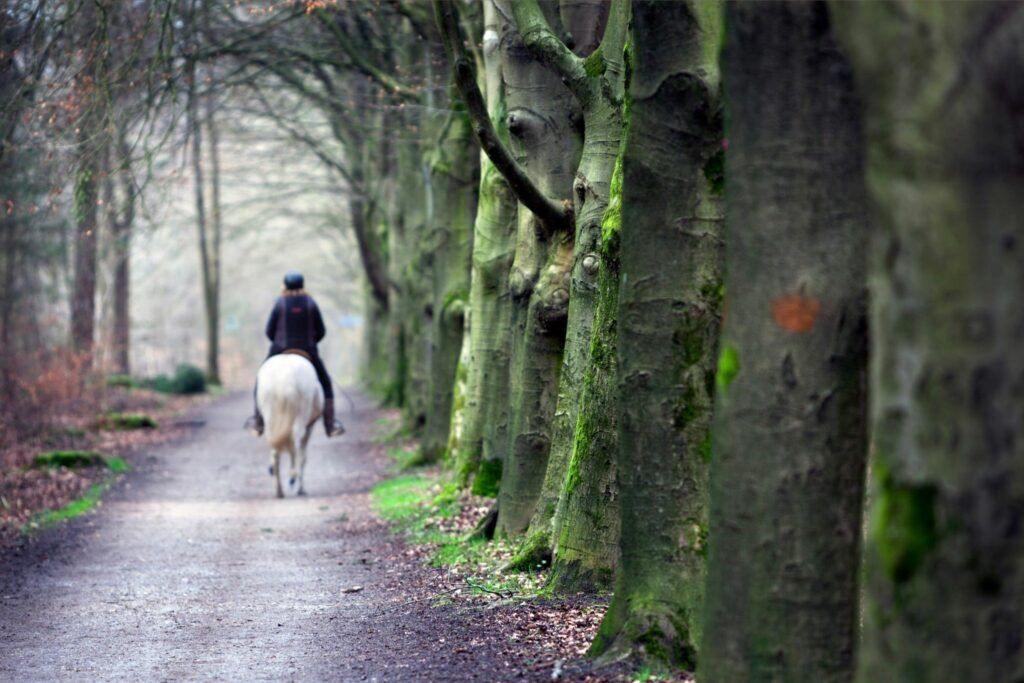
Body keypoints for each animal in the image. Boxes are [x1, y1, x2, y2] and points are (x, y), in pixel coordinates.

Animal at [256, 352, 323, 498]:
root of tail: (284, 376)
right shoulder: (309, 428)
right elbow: (303, 458)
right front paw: (301, 489)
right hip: (301, 415)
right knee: (295, 444)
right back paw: (292, 478)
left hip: (270, 417)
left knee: (276, 451)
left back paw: (279, 490)